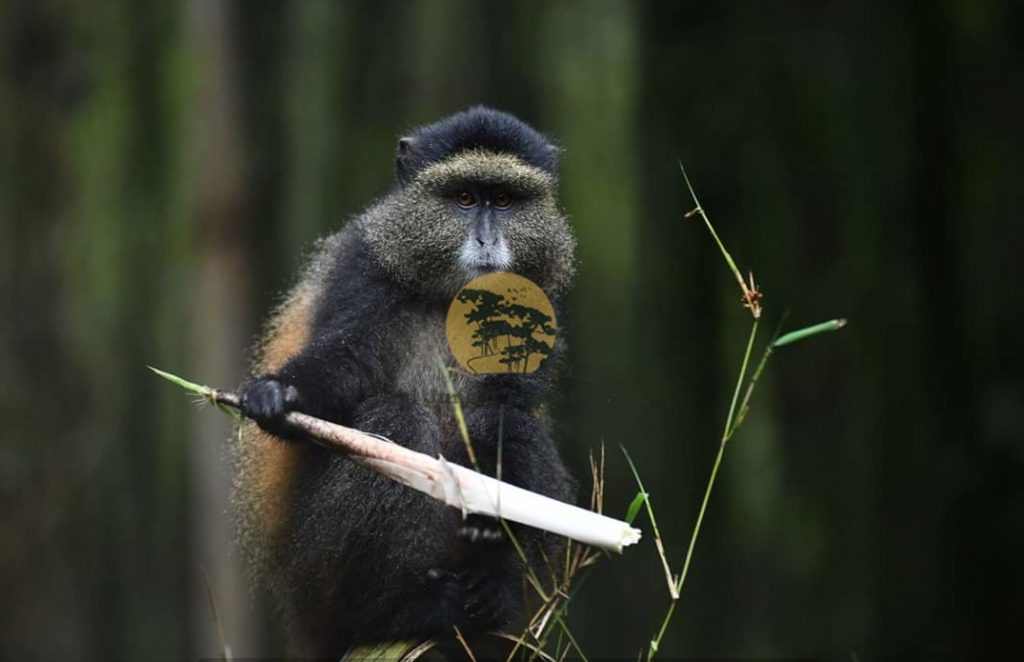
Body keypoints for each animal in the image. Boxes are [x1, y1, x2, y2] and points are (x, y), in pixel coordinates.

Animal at [232, 106, 578, 658]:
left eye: (503, 200)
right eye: (464, 198)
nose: (487, 240)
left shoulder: (539, 291)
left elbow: (510, 404)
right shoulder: (364, 272)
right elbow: (344, 364)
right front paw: (276, 395)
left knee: (509, 423)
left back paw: (492, 593)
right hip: (315, 589)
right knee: (393, 420)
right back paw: (396, 613)